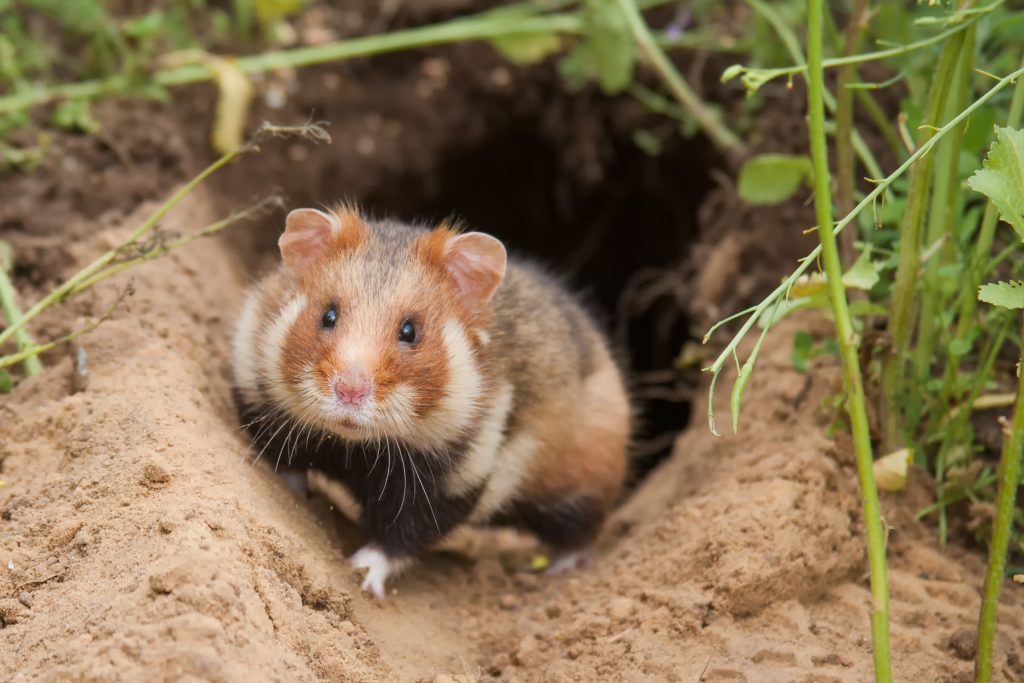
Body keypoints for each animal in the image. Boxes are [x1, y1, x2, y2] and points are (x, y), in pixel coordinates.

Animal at [231, 206, 631, 598]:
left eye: (410, 331)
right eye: (328, 315)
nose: (349, 391)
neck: (352, 446)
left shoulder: (456, 474)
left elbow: (403, 534)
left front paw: (362, 575)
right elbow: (285, 460)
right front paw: (293, 492)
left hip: (582, 483)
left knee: (583, 530)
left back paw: (561, 569)